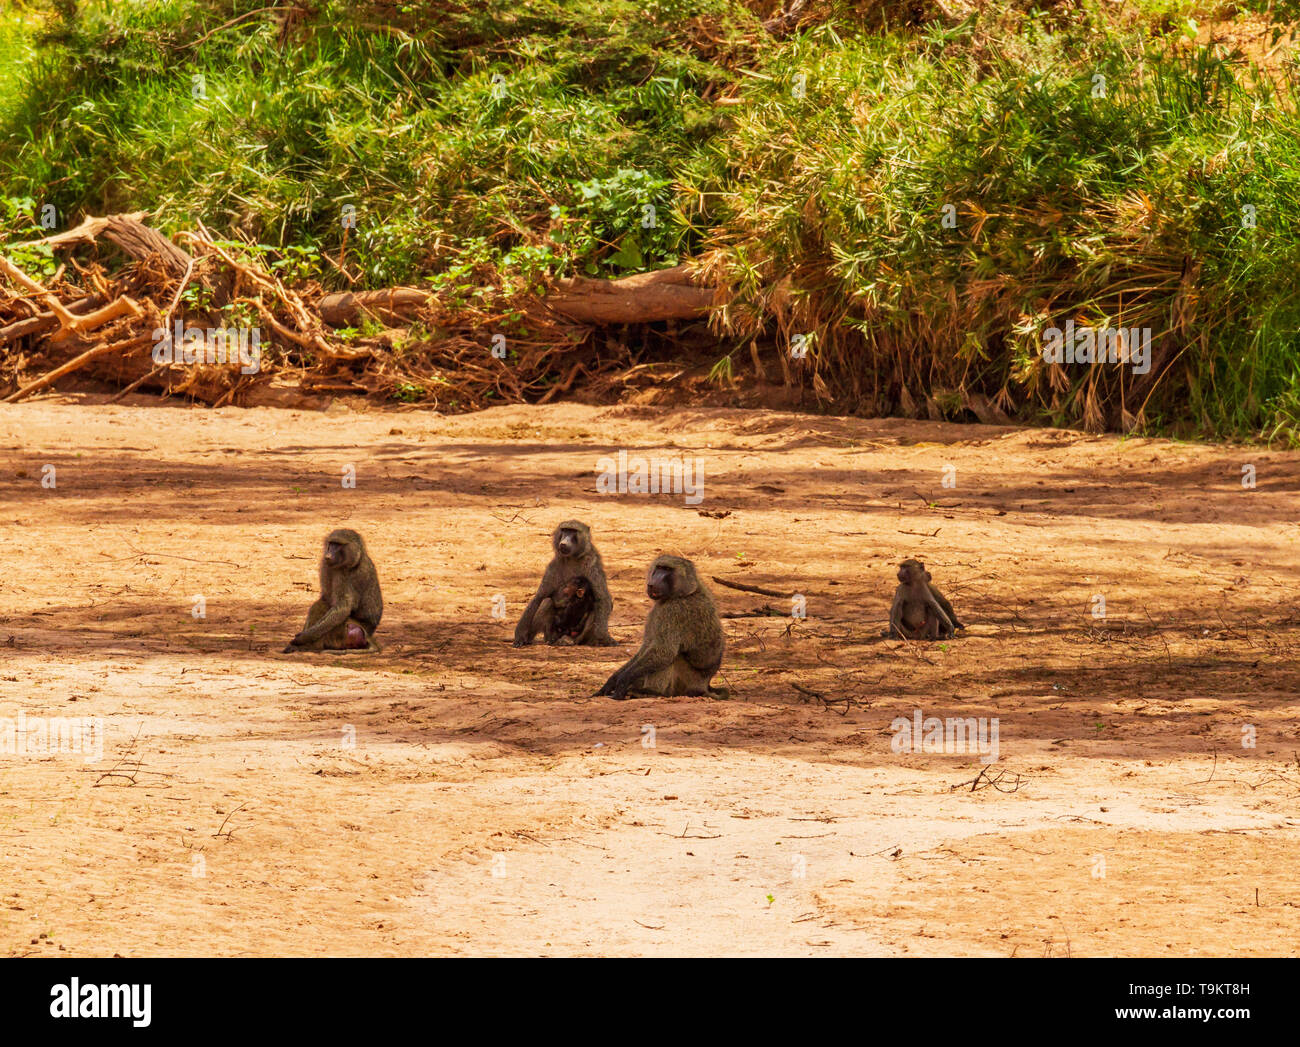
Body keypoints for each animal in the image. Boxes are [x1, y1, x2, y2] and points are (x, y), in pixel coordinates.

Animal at [596, 555, 725, 700]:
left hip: (688, 682)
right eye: (659, 568)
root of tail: (704, 686)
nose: (652, 584)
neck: (685, 593)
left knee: (671, 658)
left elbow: (664, 651)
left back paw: (652, 692)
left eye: (667, 570)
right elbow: (645, 648)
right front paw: (611, 682)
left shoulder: (674, 612)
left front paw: (623, 681)